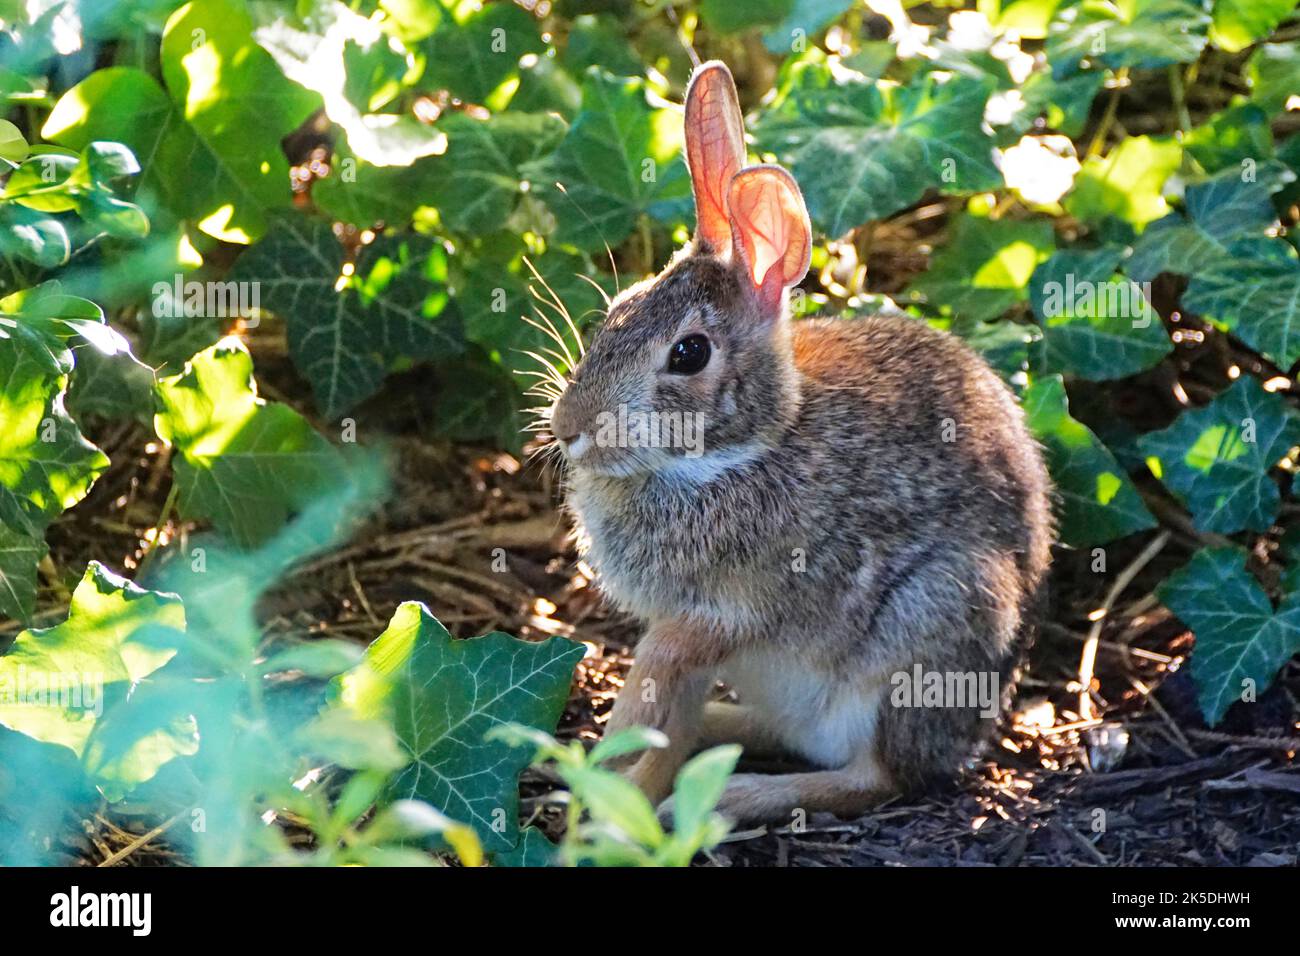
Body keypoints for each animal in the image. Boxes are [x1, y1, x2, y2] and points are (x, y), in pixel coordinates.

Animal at [546, 61, 1053, 826]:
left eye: (688, 354)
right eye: (616, 309)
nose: (569, 427)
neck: (735, 454)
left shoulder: (731, 611)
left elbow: (663, 663)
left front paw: (618, 770)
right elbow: (670, 713)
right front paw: (621, 782)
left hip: (932, 624)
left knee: (874, 777)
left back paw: (740, 796)